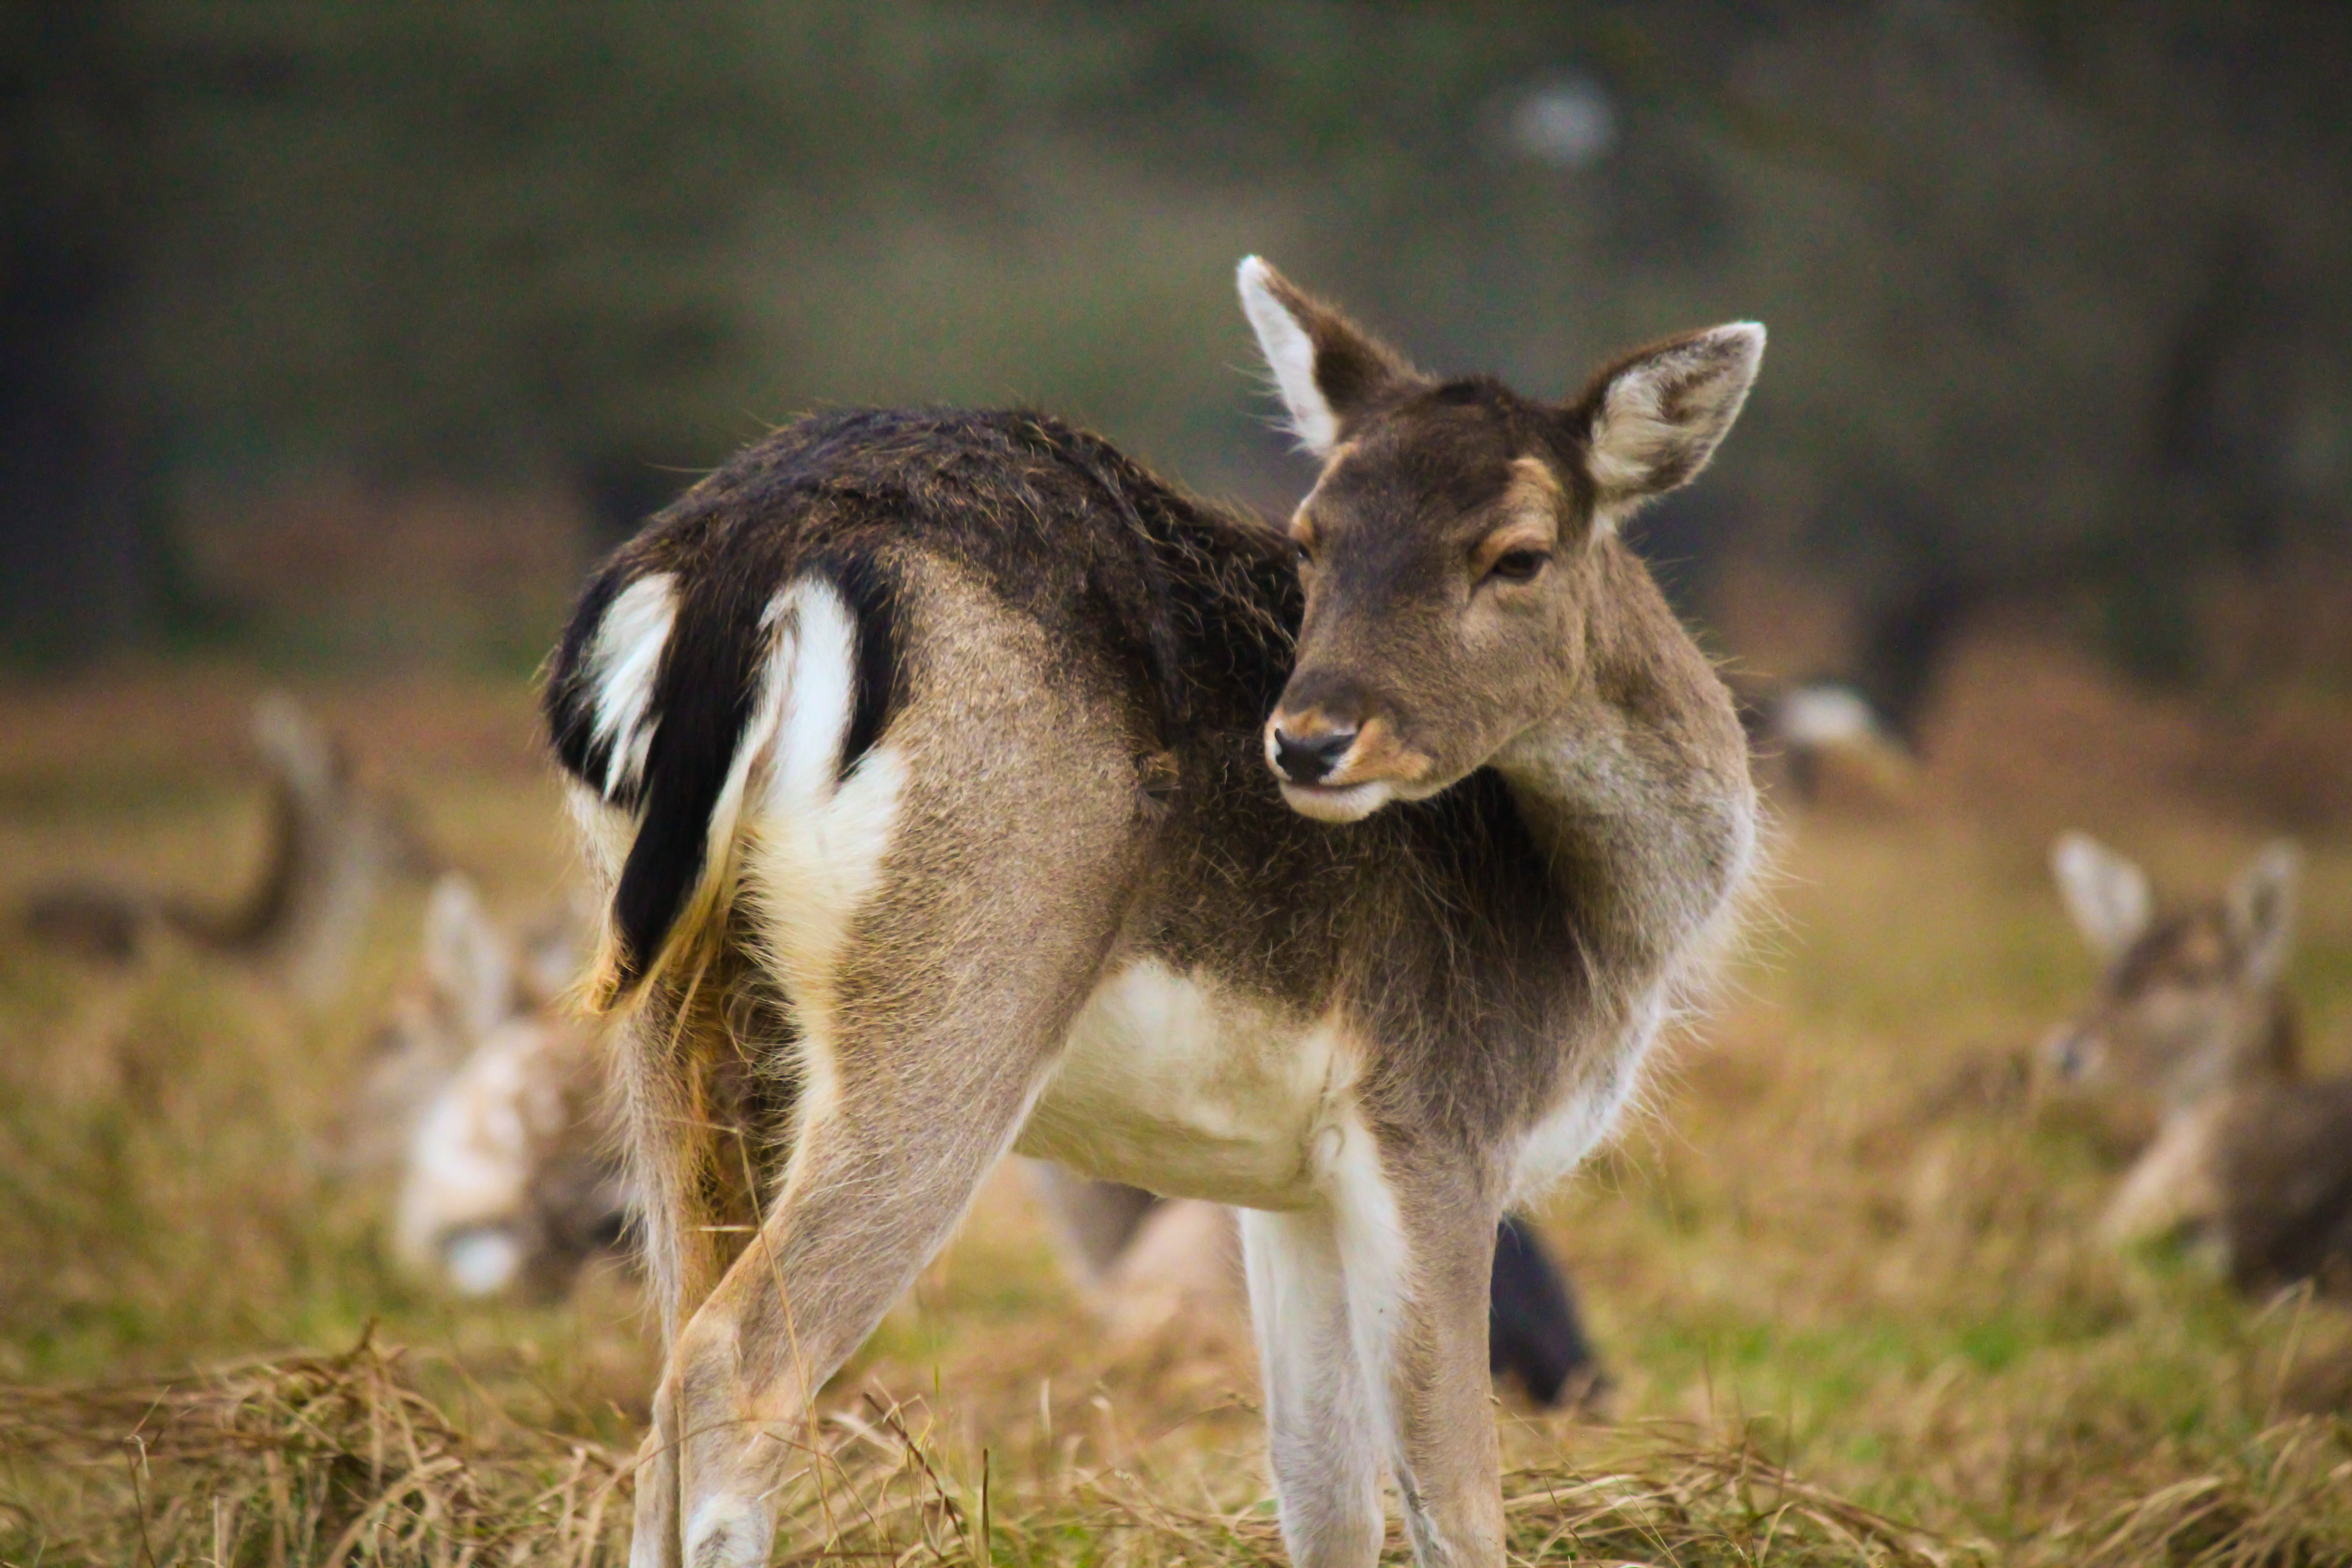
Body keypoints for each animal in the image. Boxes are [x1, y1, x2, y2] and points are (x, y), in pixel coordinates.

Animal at [541, 257, 1762, 1568]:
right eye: (1311, 534)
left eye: (1520, 553)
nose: (1310, 739)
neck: (1601, 936)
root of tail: (750, 549)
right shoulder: (1438, 1122)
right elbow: (1455, 1503)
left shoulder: (1291, 1187)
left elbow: (1325, 1498)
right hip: (958, 988)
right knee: (737, 1355)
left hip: (677, 993)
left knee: (672, 1346)